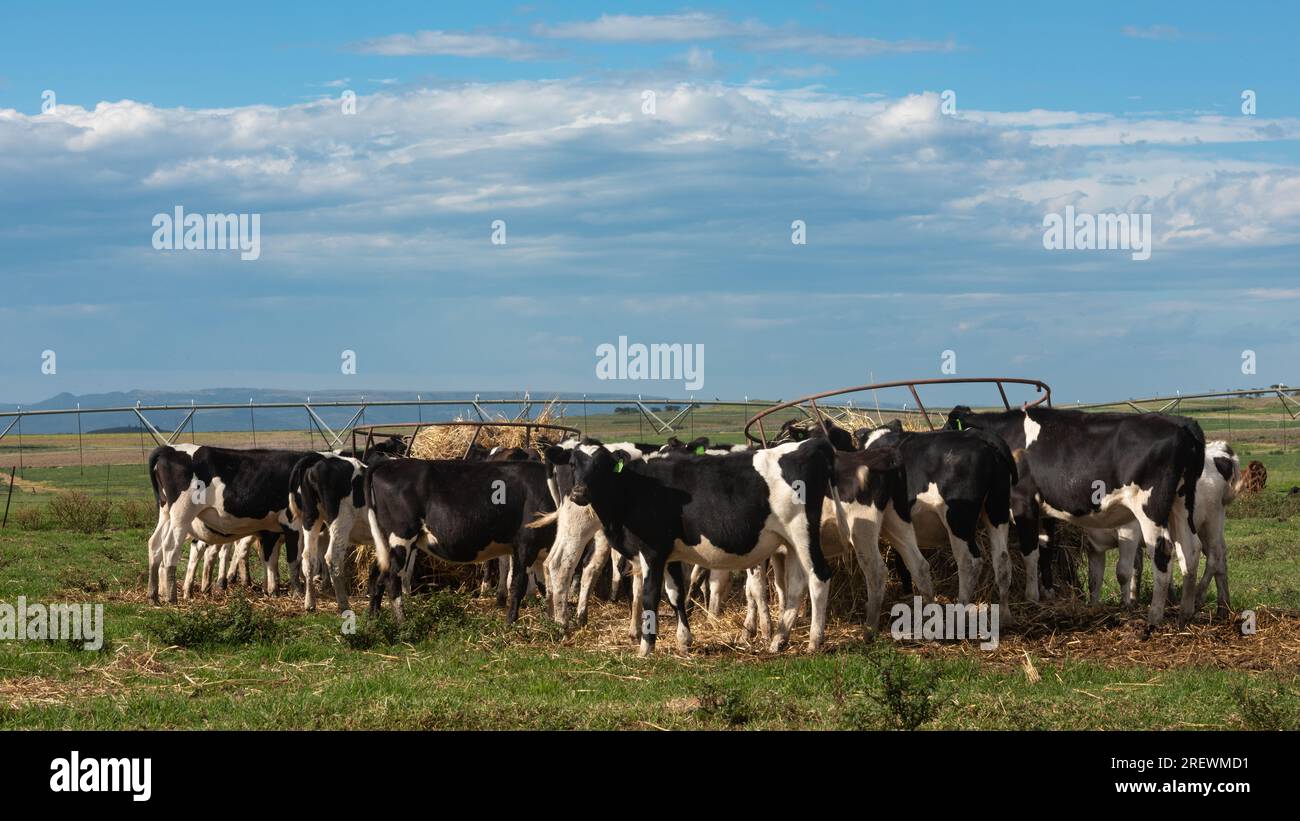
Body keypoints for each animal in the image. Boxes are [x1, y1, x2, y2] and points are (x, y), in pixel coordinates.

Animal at [147, 444, 317, 603]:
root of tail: (168, 449)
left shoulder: (271, 532)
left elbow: (270, 559)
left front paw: (272, 590)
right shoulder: (291, 524)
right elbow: (294, 559)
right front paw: (297, 592)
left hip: (166, 514)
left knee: (155, 545)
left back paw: (154, 595)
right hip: (181, 515)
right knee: (170, 548)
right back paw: (171, 596)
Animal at [364, 457, 558, 624]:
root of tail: (388, 463)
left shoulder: (541, 551)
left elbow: (546, 587)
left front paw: (551, 622)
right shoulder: (525, 545)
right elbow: (518, 584)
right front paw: (511, 623)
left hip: (387, 543)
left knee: (377, 575)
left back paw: (374, 618)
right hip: (402, 536)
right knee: (391, 577)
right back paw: (402, 622)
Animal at [535, 437, 864, 656]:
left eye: (602, 467)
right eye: (574, 464)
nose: (579, 492)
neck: (636, 488)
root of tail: (809, 444)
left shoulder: (652, 551)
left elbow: (651, 596)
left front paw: (646, 647)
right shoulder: (669, 554)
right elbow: (675, 594)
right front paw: (684, 640)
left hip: (802, 533)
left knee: (819, 577)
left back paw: (814, 641)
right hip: (791, 543)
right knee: (796, 588)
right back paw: (778, 641)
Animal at [945, 405, 1206, 627]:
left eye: (948, 428)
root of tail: (1181, 423)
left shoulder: (1023, 503)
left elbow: (1030, 552)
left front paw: (1032, 598)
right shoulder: (1045, 511)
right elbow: (1046, 548)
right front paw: (1048, 593)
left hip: (1150, 507)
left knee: (1163, 551)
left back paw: (1154, 617)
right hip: (1182, 502)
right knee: (1191, 549)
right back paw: (1185, 613)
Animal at [1085, 440, 1241, 616]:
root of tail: (1220, 449)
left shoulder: (1129, 532)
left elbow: (1123, 572)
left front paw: (1126, 606)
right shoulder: (1093, 544)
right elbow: (1094, 579)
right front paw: (1094, 607)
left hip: (1211, 521)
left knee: (1214, 555)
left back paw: (1199, 596)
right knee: (1221, 558)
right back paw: (1223, 607)